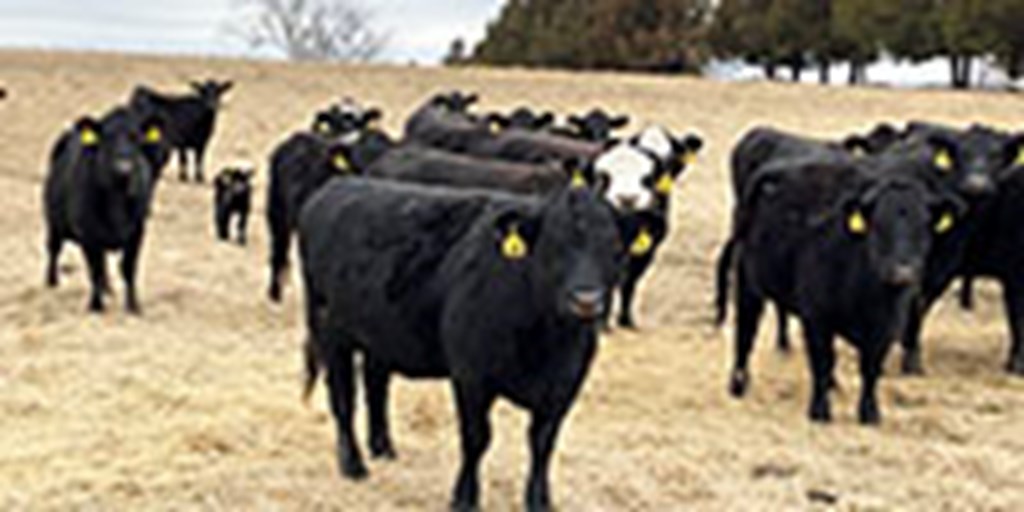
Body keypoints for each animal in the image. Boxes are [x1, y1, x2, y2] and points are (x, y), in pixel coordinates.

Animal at [44, 107, 165, 313]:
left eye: (136, 138)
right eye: (107, 138)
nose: (124, 167)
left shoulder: (137, 232)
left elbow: (128, 268)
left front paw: (133, 306)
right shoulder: (89, 235)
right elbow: (95, 270)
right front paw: (96, 305)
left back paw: (108, 289)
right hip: (53, 222)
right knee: (53, 249)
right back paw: (52, 282)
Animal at [298, 178, 623, 512]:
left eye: (614, 247)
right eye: (552, 245)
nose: (586, 301)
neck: (547, 344)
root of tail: (339, 184)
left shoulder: (563, 387)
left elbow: (542, 444)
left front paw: (539, 500)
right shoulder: (471, 377)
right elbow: (476, 438)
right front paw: (465, 497)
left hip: (378, 337)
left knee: (376, 388)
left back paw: (383, 447)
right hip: (331, 330)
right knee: (343, 398)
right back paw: (352, 464)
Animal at [723, 153, 963, 424]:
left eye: (924, 226)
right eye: (878, 225)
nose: (903, 271)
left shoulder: (884, 327)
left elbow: (870, 368)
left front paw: (870, 413)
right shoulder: (817, 318)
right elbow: (822, 361)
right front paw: (820, 411)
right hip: (748, 284)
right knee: (745, 334)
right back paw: (738, 384)